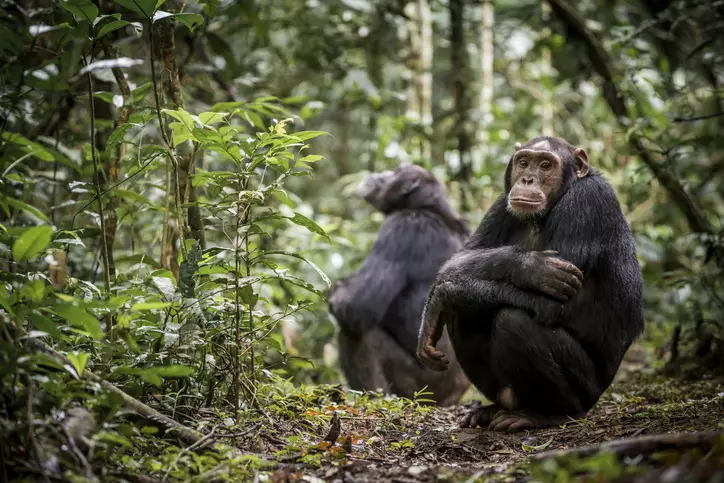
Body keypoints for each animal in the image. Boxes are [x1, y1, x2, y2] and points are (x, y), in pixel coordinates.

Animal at [328, 164, 470, 406]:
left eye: (396, 171)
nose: (382, 173)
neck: (433, 210)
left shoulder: (402, 227)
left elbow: (355, 307)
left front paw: (338, 290)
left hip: (421, 390)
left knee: (360, 335)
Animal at [416, 136, 648, 432]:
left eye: (546, 165)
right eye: (524, 162)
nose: (527, 179)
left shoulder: (587, 202)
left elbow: (551, 305)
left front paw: (444, 294)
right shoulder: (501, 203)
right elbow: (461, 258)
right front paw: (531, 268)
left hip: (588, 391)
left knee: (513, 321)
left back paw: (548, 414)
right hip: (507, 392)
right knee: (465, 314)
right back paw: (491, 410)